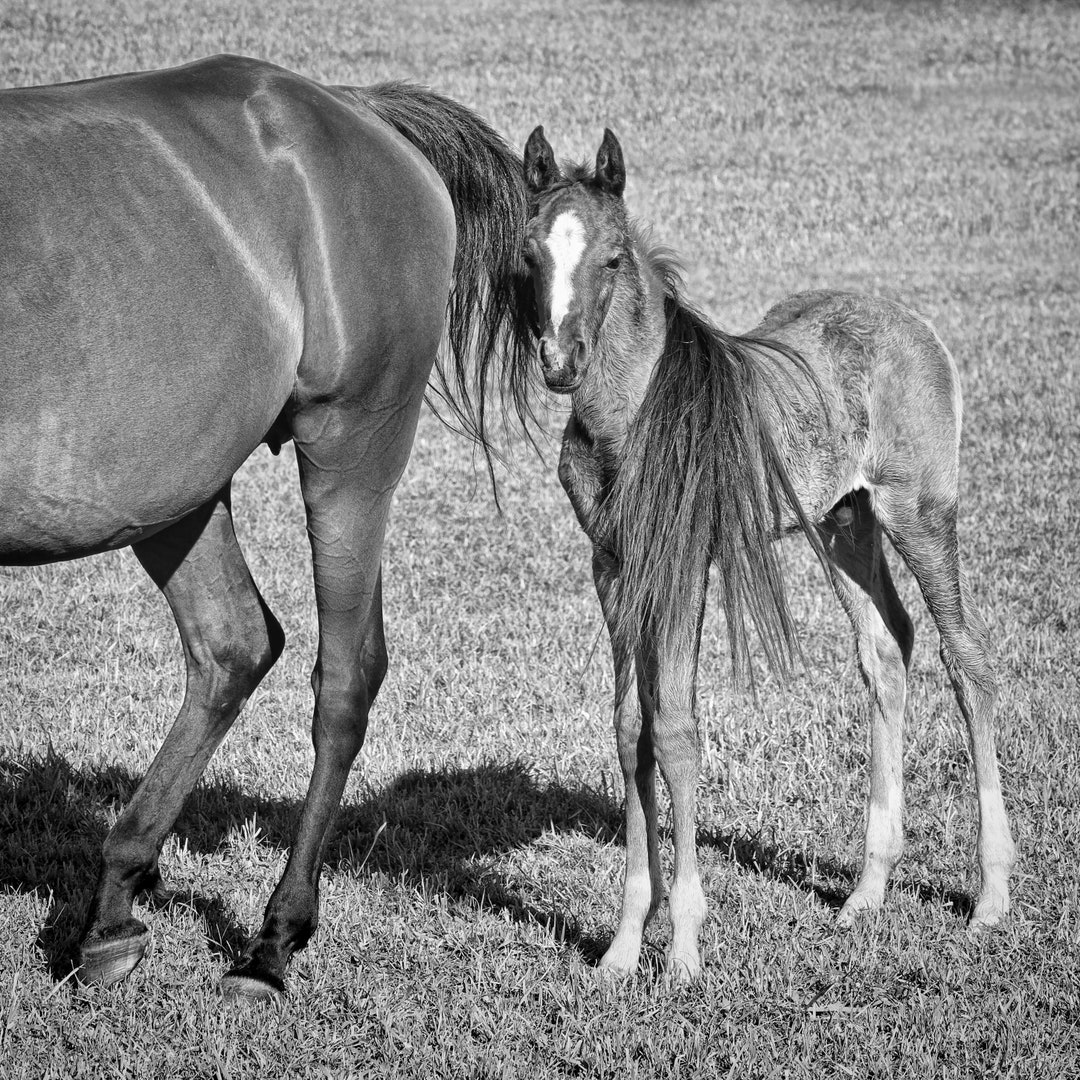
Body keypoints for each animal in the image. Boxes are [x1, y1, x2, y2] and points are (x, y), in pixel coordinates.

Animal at [0, 54, 536, 1000]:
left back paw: (274, 939)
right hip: (176, 486)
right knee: (234, 645)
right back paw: (113, 908)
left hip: (350, 446)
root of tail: (355, 109)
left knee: (344, 679)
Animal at [520, 125, 1016, 981]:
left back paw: (989, 899)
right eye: (531, 253)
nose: (561, 362)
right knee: (887, 650)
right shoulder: (613, 569)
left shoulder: (685, 564)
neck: (635, 416)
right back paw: (867, 892)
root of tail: (913, 325)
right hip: (844, 523)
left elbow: (676, 731)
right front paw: (622, 948)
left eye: (613, 258)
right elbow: (629, 729)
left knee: (968, 665)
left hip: (920, 515)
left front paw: (683, 948)